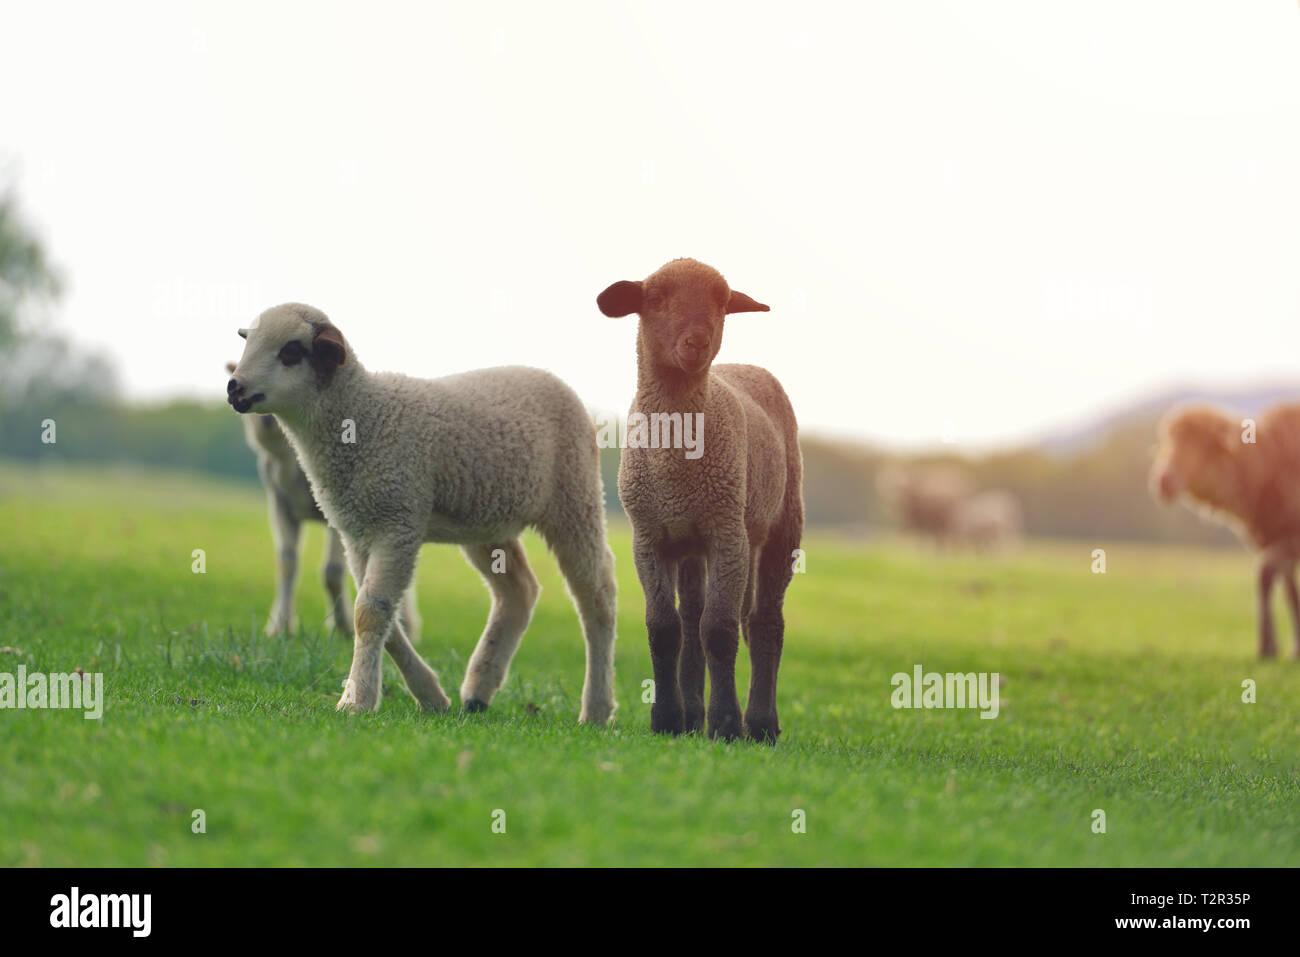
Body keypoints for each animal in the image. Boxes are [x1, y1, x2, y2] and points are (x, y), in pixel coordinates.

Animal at [226, 364, 419, 641]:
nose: (266, 420)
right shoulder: (280, 504)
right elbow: (287, 562)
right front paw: (280, 626)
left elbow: (333, 570)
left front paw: (343, 626)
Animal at [597, 258, 803, 742]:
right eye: (655, 299)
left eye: (723, 304)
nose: (697, 343)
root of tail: (743, 366)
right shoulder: (649, 536)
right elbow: (663, 628)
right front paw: (666, 720)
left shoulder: (727, 531)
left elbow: (721, 629)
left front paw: (726, 724)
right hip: (691, 540)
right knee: (691, 619)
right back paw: (693, 716)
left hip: (780, 523)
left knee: (763, 621)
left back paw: (761, 724)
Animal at [1150, 402, 1300, 658]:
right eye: (1168, 442)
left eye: (1201, 442)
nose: (1164, 481)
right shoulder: (1276, 536)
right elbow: (1287, 591)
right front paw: (1281, 648)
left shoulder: (1290, 538)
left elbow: (1264, 574)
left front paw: (1270, 647)